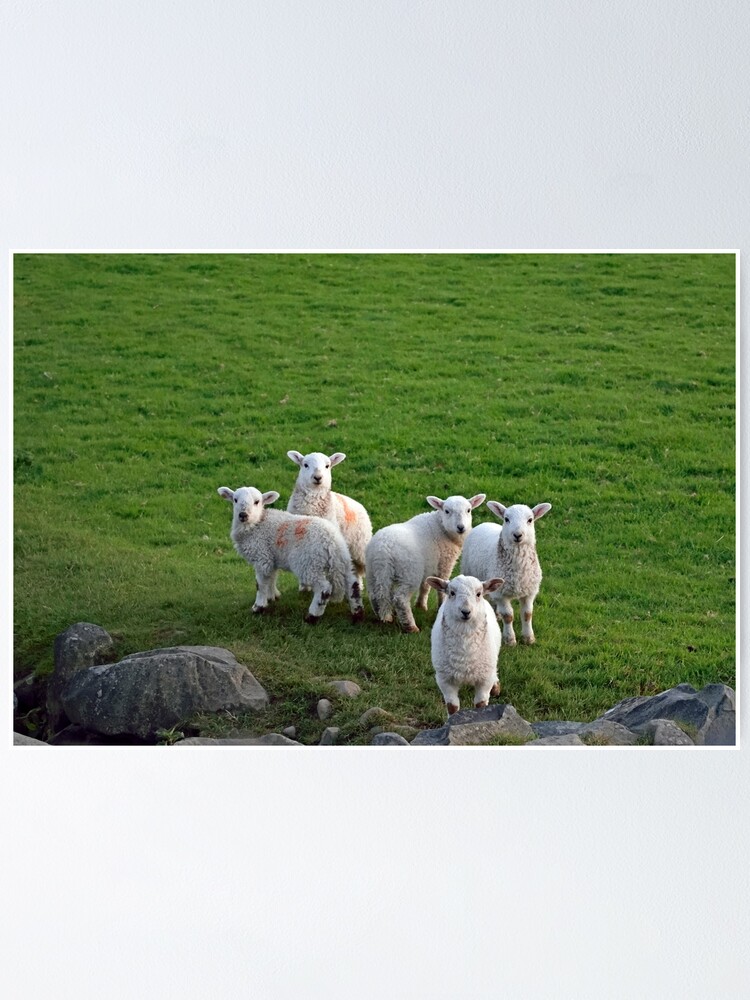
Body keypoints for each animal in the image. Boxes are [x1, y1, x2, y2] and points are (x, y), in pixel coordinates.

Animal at [217, 485, 364, 623]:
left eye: (257, 502)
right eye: (235, 500)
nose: (243, 515)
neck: (257, 524)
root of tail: (331, 540)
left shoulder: (262, 557)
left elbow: (261, 584)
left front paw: (259, 607)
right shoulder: (271, 557)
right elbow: (272, 578)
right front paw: (273, 596)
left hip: (309, 563)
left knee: (324, 588)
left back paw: (312, 616)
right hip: (342, 560)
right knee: (352, 583)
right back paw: (357, 613)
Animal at [286, 450, 372, 591]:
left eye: (327, 466)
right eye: (305, 465)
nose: (318, 477)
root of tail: (359, 505)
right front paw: (304, 586)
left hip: (360, 545)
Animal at [364, 493, 486, 633]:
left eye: (469, 510)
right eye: (447, 511)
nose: (461, 527)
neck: (441, 527)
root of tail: (384, 550)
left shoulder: (429, 564)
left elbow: (425, 586)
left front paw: (421, 606)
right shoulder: (444, 563)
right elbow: (441, 587)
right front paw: (441, 606)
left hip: (373, 571)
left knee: (376, 594)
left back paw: (384, 617)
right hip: (409, 572)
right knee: (400, 599)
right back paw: (410, 626)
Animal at [426, 574, 505, 714]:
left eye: (478, 594)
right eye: (452, 593)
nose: (466, 611)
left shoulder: (484, 680)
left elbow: (481, 705)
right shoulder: (445, 680)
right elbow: (452, 707)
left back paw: (496, 687)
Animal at [460, 501, 552, 646]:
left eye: (530, 520)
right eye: (506, 519)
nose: (517, 535)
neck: (518, 571)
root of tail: (485, 523)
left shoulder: (529, 592)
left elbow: (527, 614)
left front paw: (528, 638)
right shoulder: (501, 593)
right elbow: (508, 616)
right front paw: (510, 640)